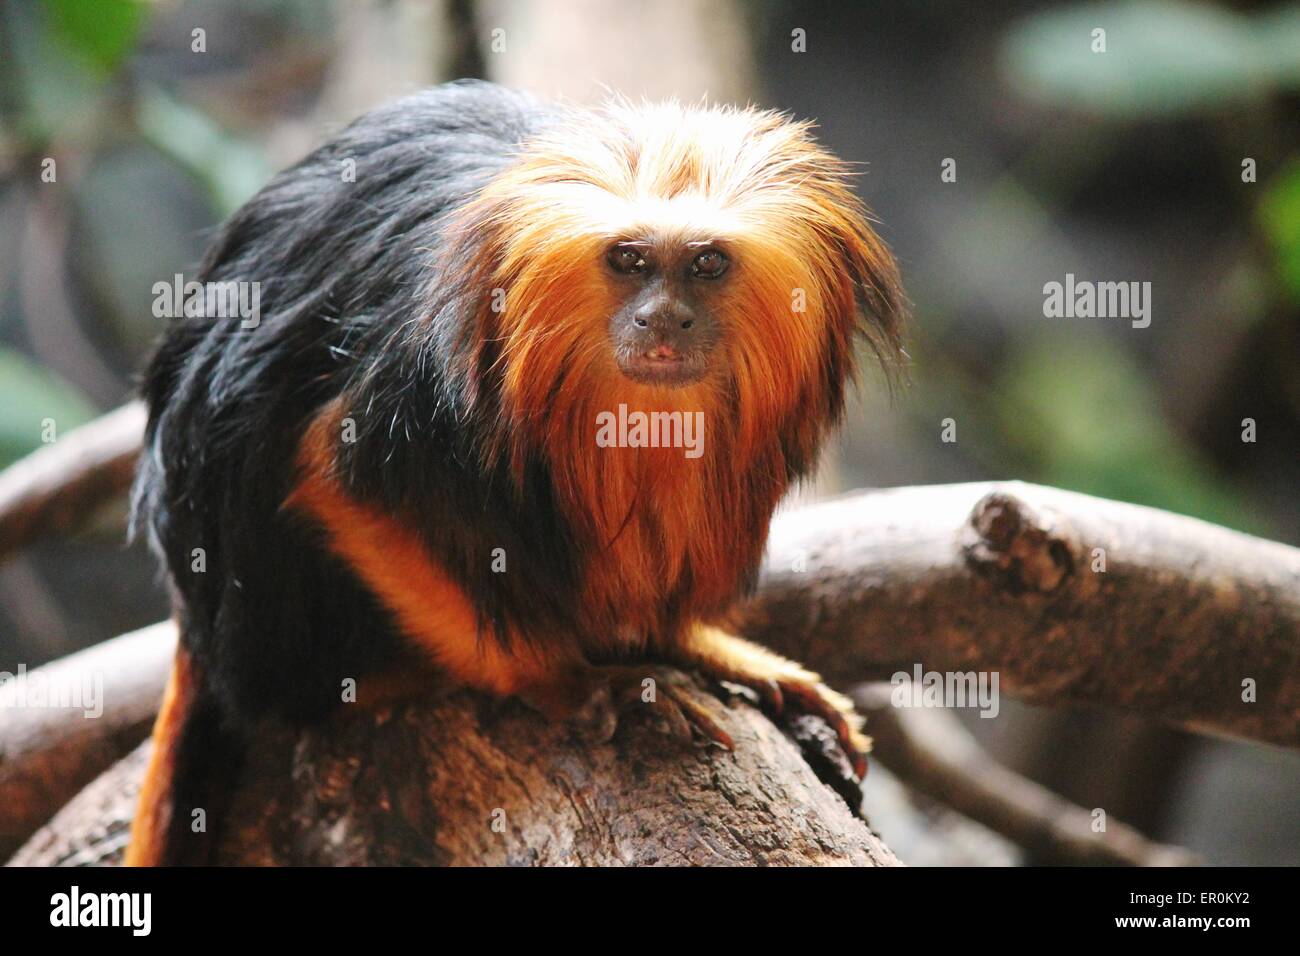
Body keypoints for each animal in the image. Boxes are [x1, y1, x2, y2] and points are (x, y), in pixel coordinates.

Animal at [125, 79, 906, 865]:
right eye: (629, 260)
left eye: (707, 264)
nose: (664, 320)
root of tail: (200, 625)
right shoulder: (416, 377)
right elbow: (333, 477)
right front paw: (559, 675)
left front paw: (689, 640)